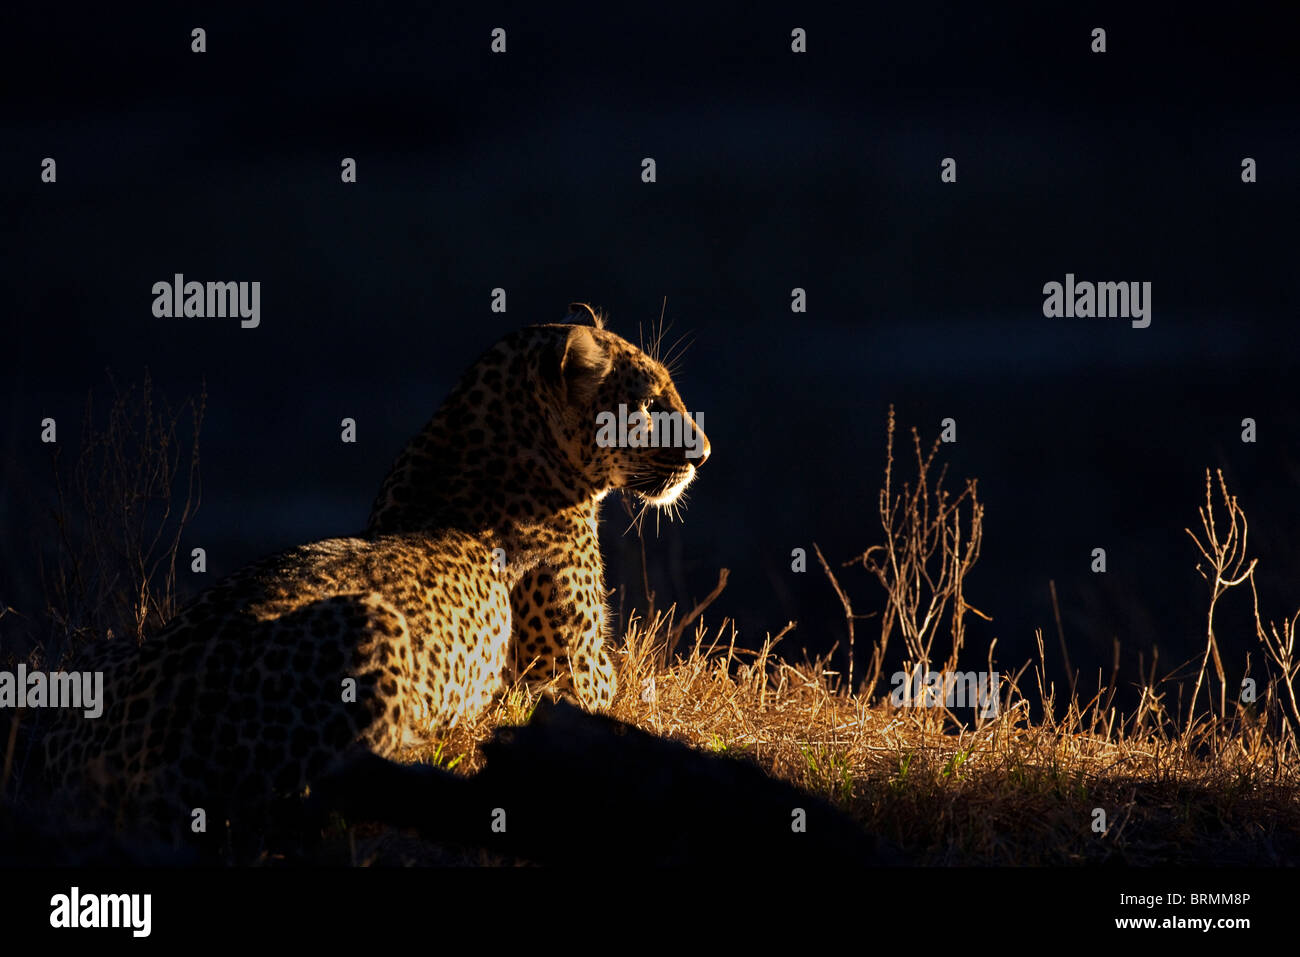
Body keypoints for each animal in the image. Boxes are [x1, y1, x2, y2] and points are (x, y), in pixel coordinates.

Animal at [38, 303, 709, 853]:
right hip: (369, 623)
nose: (702, 454)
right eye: (651, 405)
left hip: (91, 655)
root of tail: (123, 747)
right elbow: (617, 688)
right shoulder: (569, 678)